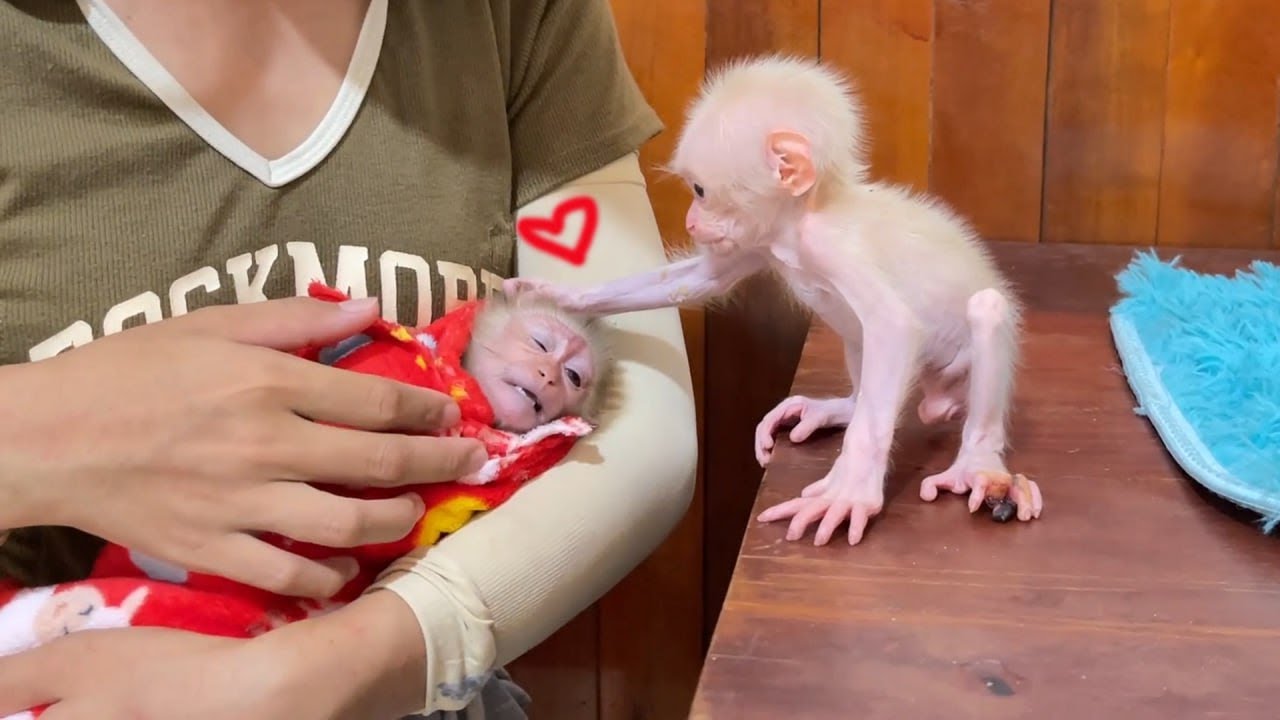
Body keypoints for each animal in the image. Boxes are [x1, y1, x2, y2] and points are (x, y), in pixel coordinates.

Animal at [504, 54, 1044, 547]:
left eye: (701, 190)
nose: (693, 223)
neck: (800, 221)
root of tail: (938, 399)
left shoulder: (832, 245)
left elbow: (893, 324)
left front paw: (851, 488)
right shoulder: (757, 241)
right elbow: (701, 279)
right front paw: (555, 295)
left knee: (984, 310)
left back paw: (977, 462)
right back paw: (842, 407)